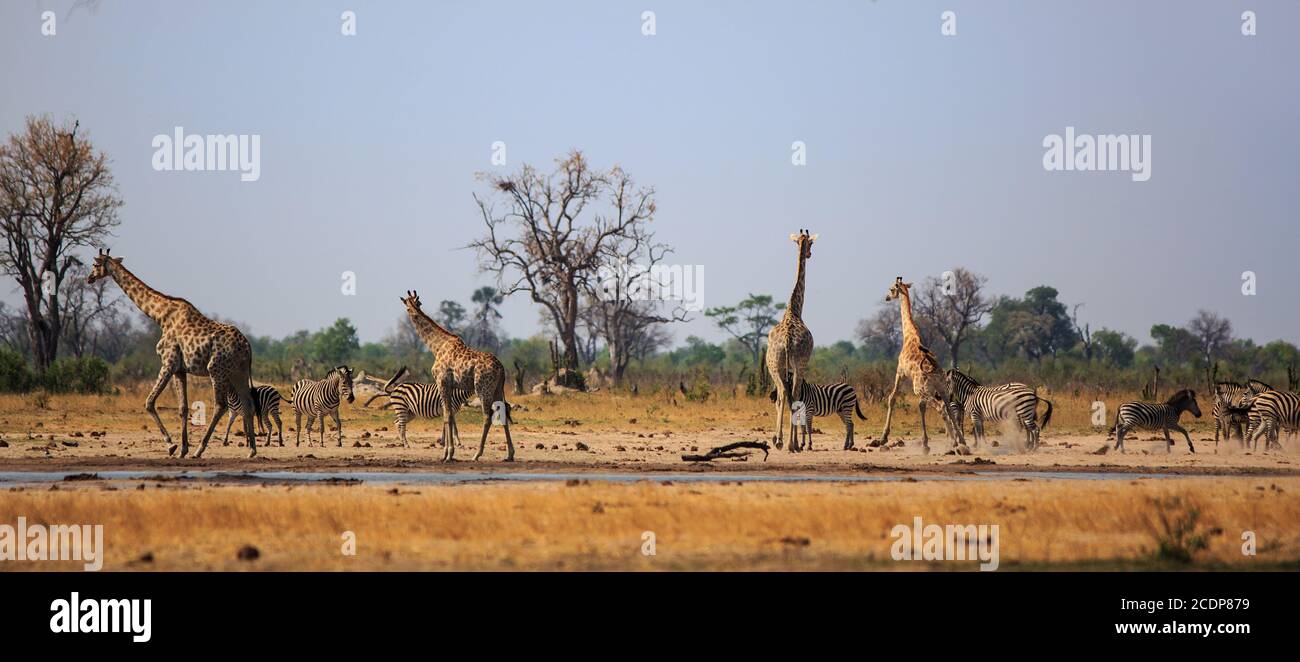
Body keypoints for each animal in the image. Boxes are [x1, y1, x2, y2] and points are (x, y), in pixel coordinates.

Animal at [87, 249, 260, 458]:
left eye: (95, 264)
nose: (89, 278)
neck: (160, 316)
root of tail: (247, 346)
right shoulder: (180, 369)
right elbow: (183, 408)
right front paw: (182, 449)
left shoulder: (168, 363)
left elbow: (149, 402)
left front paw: (171, 445)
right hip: (238, 372)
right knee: (248, 403)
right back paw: (251, 450)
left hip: (216, 369)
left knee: (221, 405)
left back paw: (200, 450)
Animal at [400, 290, 515, 462]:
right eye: (416, 303)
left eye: (408, 306)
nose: (411, 312)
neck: (436, 346)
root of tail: (501, 368)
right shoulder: (450, 385)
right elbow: (450, 416)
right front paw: (447, 452)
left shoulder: (441, 382)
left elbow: (447, 416)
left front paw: (448, 453)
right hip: (498, 388)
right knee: (504, 412)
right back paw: (510, 454)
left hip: (483, 388)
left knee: (487, 416)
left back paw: (477, 454)